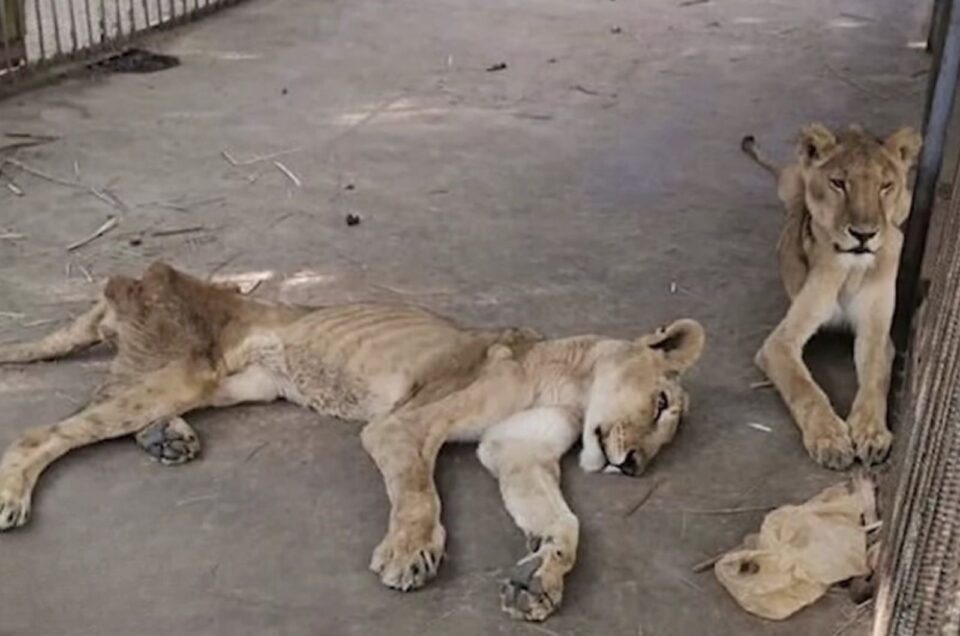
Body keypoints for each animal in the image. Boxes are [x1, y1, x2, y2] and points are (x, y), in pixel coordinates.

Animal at [0, 262, 705, 621]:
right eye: (662, 404)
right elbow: (419, 493)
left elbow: (563, 524)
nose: (634, 466)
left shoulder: (514, 453)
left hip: (228, 385)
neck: (567, 385)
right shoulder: (401, 425)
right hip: (179, 369)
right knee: (45, 431)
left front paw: (540, 581)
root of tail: (135, 279)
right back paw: (12, 497)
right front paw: (411, 554)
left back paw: (166, 438)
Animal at [741, 123, 922, 469]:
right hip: (793, 182)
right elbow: (805, 388)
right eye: (839, 183)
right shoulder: (778, 344)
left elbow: (874, 379)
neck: (851, 269)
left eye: (885, 186)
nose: (864, 235)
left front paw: (871, 432)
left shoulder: (877, 335)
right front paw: (829, 439)